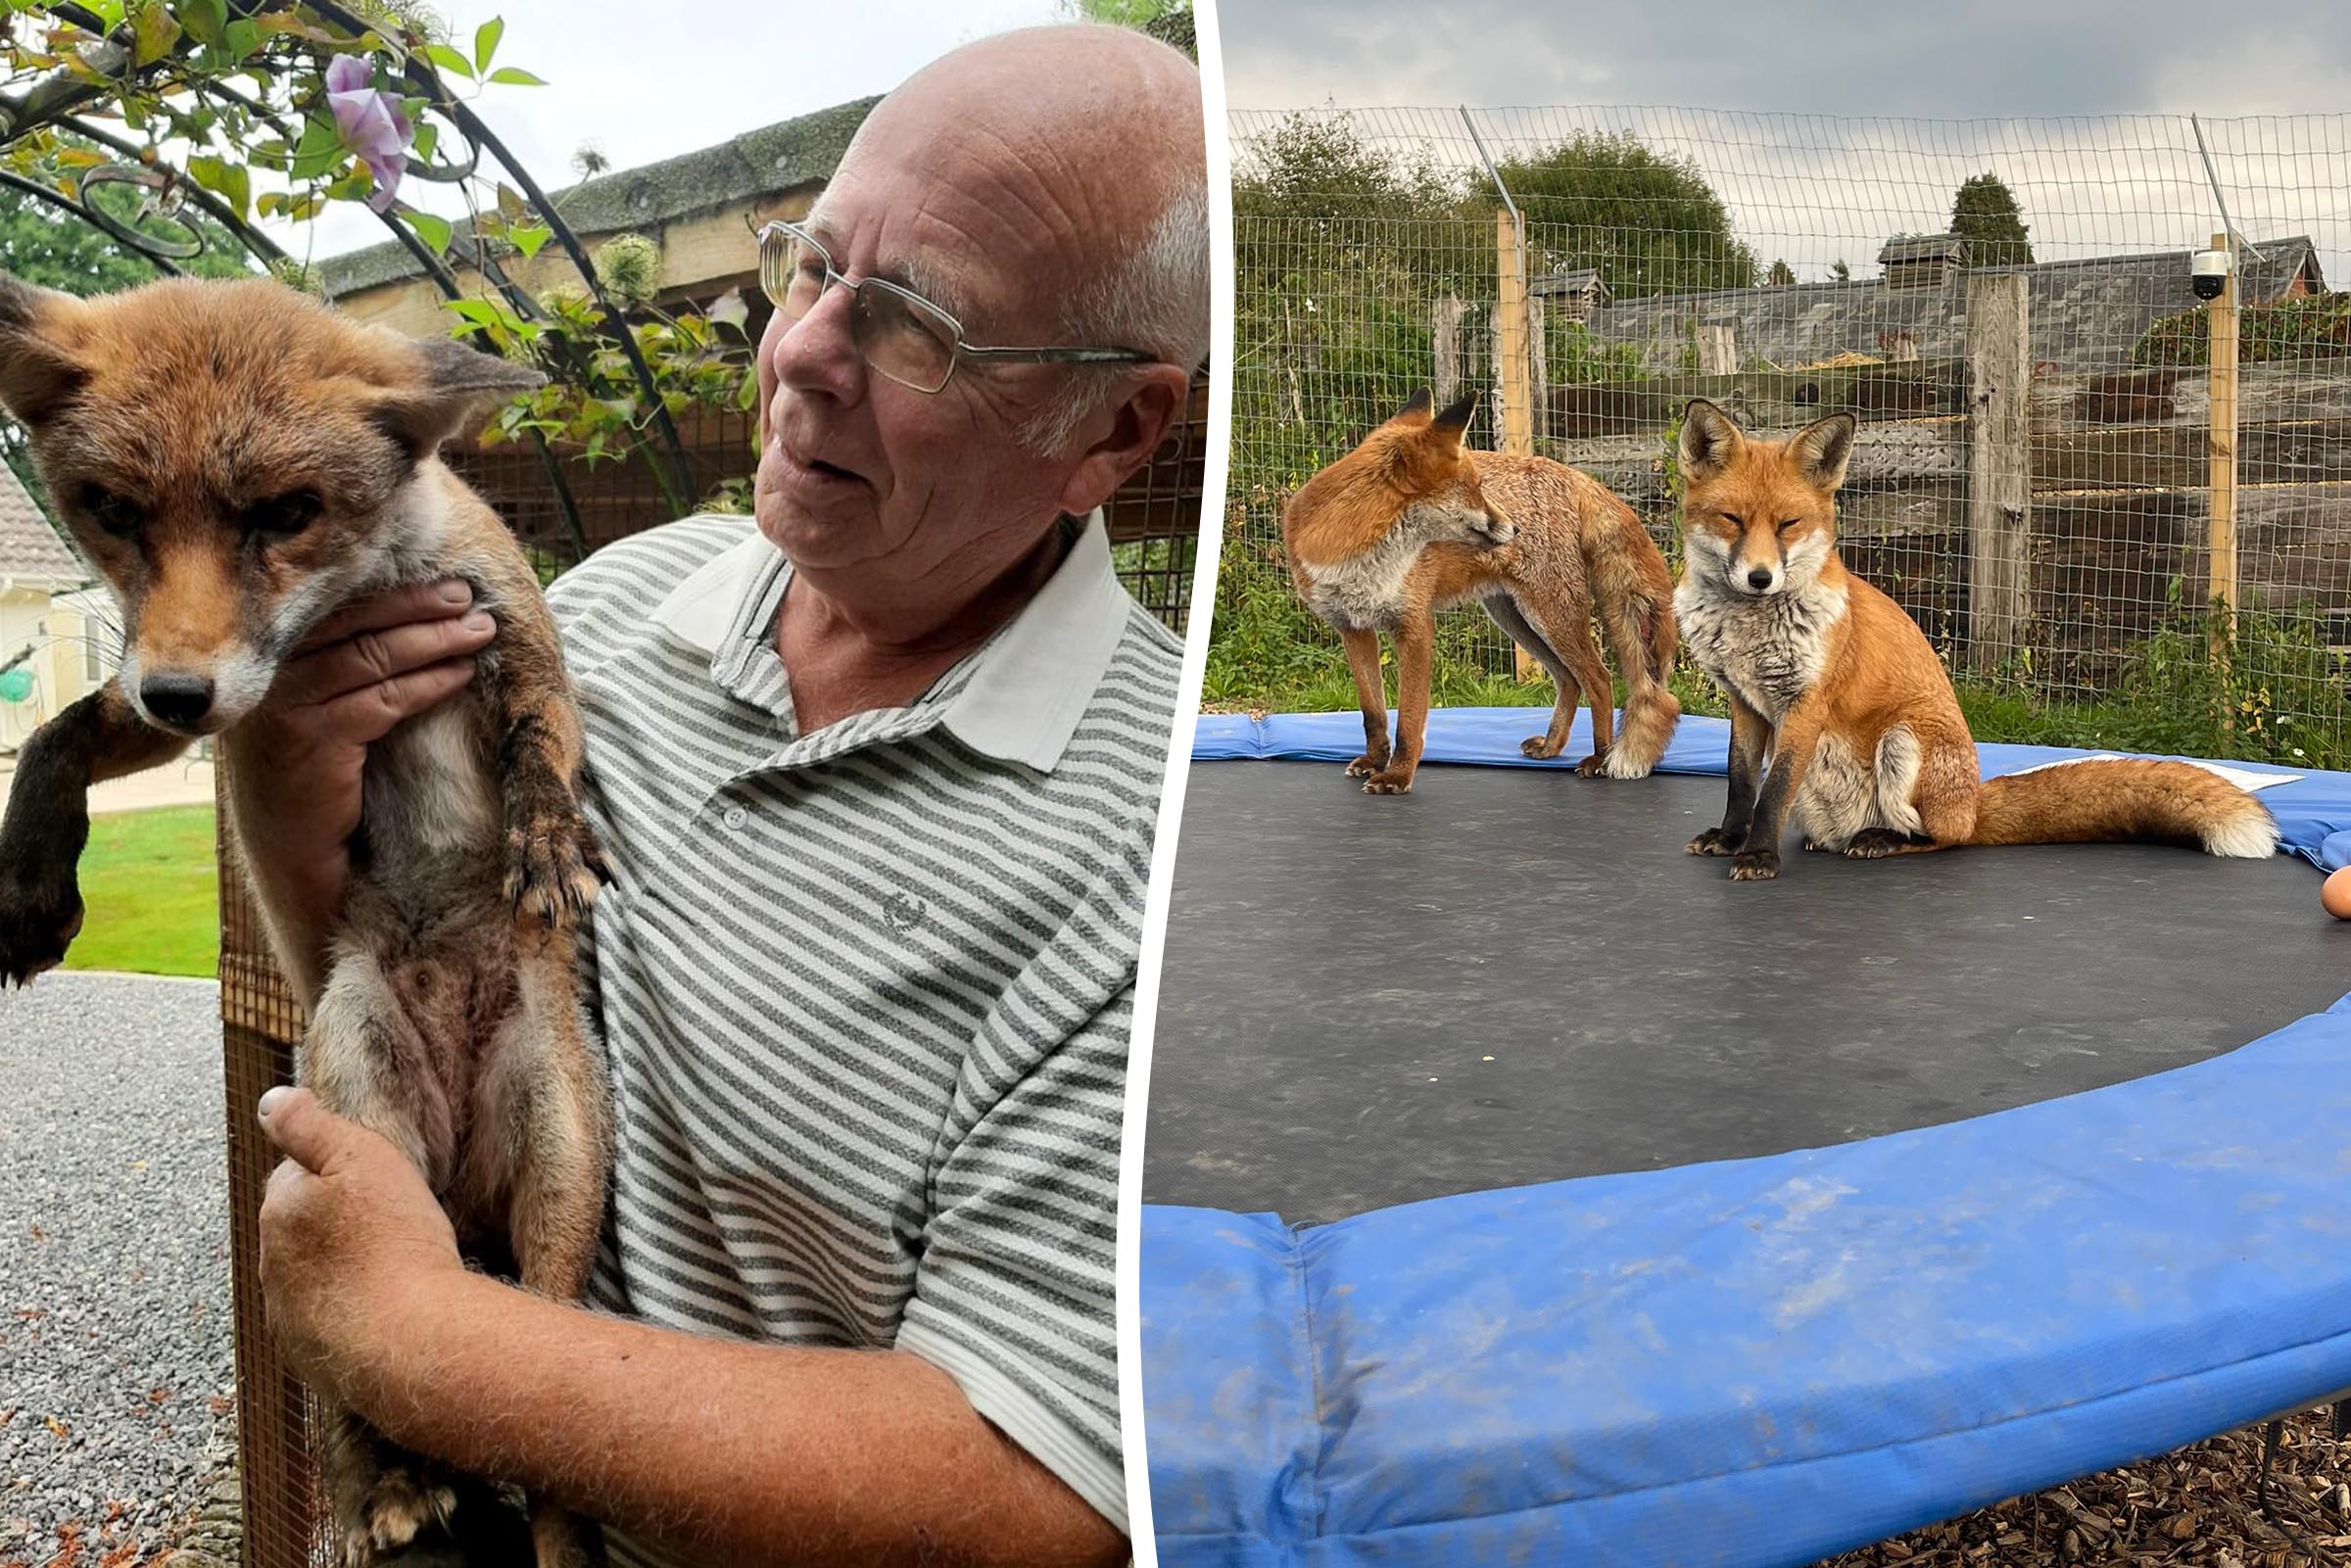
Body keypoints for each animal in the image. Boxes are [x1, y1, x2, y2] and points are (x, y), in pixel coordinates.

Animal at [0, 275, 612, 1567]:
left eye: (287, 512)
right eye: (113, 511)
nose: (180, 694)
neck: (369, 592)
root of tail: (458, 1194)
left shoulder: (504, 617)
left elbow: (541, 728)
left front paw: (545, 835)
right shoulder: (217, 693)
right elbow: (61, 730)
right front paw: (30, 887)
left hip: (561, 1164)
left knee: (550, 1402)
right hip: (361, 1095)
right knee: (376, 1379)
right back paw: (384, 1481)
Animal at [1283, 389, 1680, 794]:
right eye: (1475, 489)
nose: (1515, 528)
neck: (1351, 554)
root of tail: (1568, 472)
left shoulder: (1415, 626)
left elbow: (1409, 720)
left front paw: (1397, 775)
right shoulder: (1353, 628)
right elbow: (1373, 714)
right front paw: (1376, 761)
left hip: (1550, 615)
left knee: (1598, 678)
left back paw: (1600, 758)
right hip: (1516, 619)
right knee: (1569, 679)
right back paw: (1552, 746)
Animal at [1671, 396, 2277, 881]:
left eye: (1788, 525)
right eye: (1732, 519)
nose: (1760, 578)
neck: (1748, 627)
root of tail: (1975, 801)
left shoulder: (1805, 703)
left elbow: (1772, 794)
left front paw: (1759, 856)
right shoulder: (1746, 701)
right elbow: (1741, 784)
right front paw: (1731, 839)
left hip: (1905, 741)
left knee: (1943, 839)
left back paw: (1883, 840)